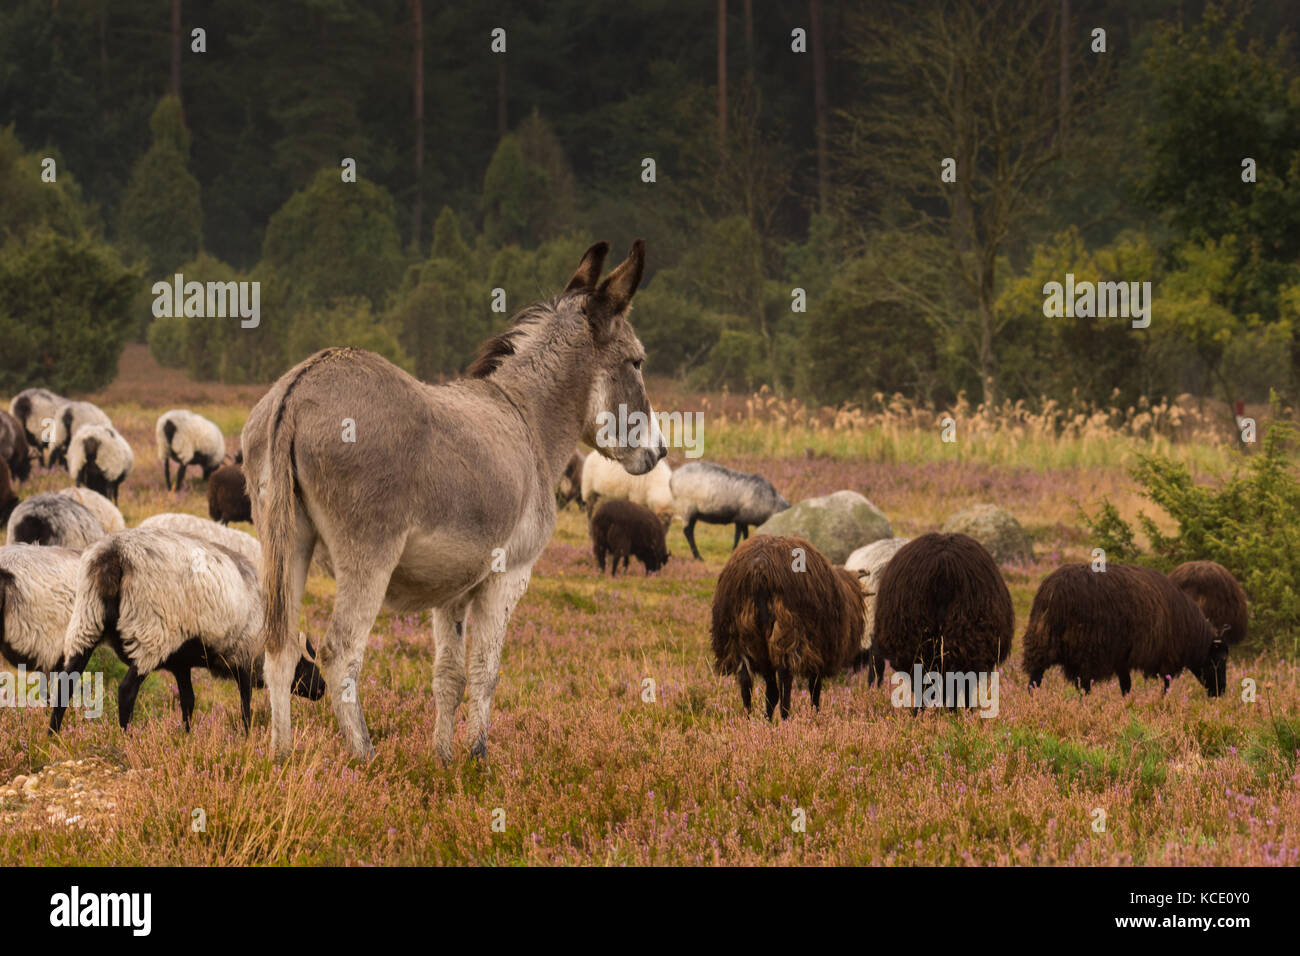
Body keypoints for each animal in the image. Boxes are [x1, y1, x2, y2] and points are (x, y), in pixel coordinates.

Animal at [51, 527, 324, 734]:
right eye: (306, 662)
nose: (322, 689)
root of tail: (114, 555)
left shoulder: (180, 663)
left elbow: (188, 701)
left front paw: (187, 735)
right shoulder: (244, 656)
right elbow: (246, 704)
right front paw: (247, 736)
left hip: (86, 622)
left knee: (66, 684)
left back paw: (53, 736)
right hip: (150, 634)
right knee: (126, 690)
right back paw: (125, 737)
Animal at [710, 534, 863, 720]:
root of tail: (759, 571)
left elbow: (771, 692)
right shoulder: (818, 653)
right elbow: (815, 689)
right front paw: (815, 714)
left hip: (741, 635)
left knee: (747, 679)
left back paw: (748, 719)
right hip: (787, 630)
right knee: (785, 677)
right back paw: (785, 717)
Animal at [1022, 562, 1228, 698]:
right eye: (1219, 660)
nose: (1220, 692)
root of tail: (1054, 592)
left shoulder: (1122, 657)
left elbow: (1126, 685)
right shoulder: (1166, 656)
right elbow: (1165, 684)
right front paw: (1162, 701)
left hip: (1041, 641)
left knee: (1034, 681)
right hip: (1085, 650)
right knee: (1084, 686)